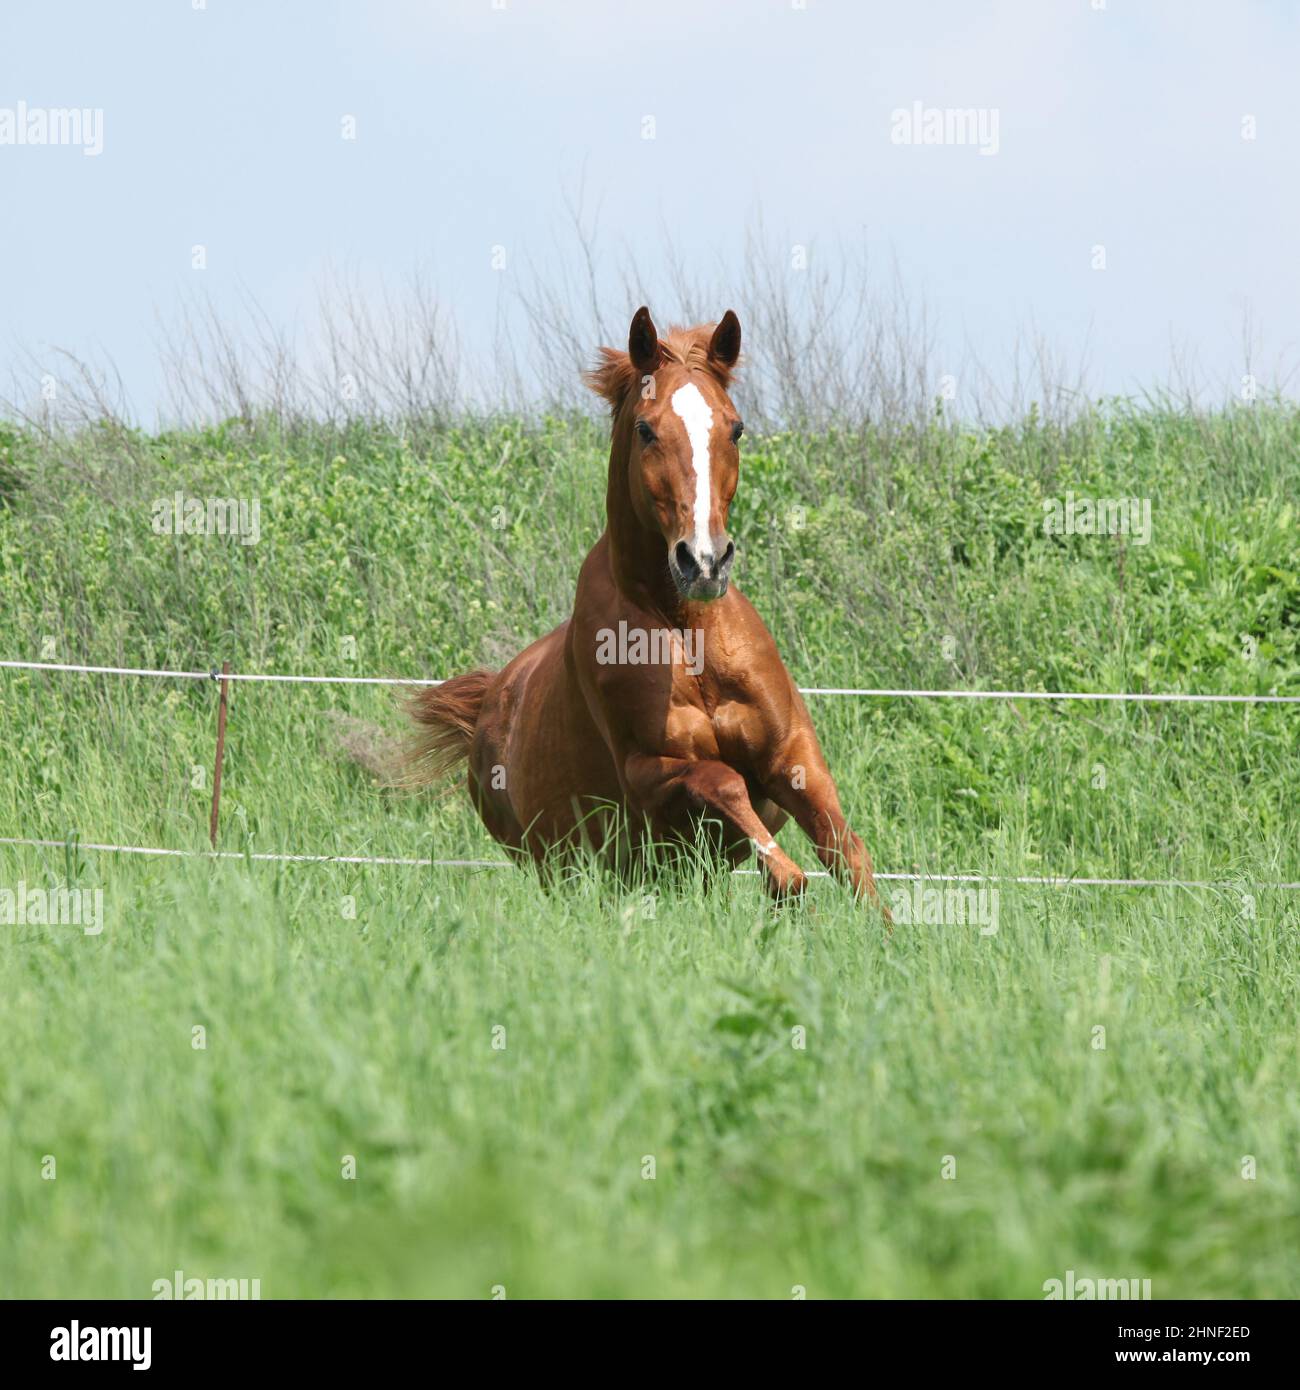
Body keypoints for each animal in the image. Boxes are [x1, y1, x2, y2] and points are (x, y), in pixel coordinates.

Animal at [406, 306, 888, 917]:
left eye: (735, 427)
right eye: (645, 429)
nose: (704, 561)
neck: (688, 633)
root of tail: (489, 703)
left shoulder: (792, 753)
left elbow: (846, 853)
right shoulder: (648, 771)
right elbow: (726, 785)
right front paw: (783, 877)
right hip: (565, 869)